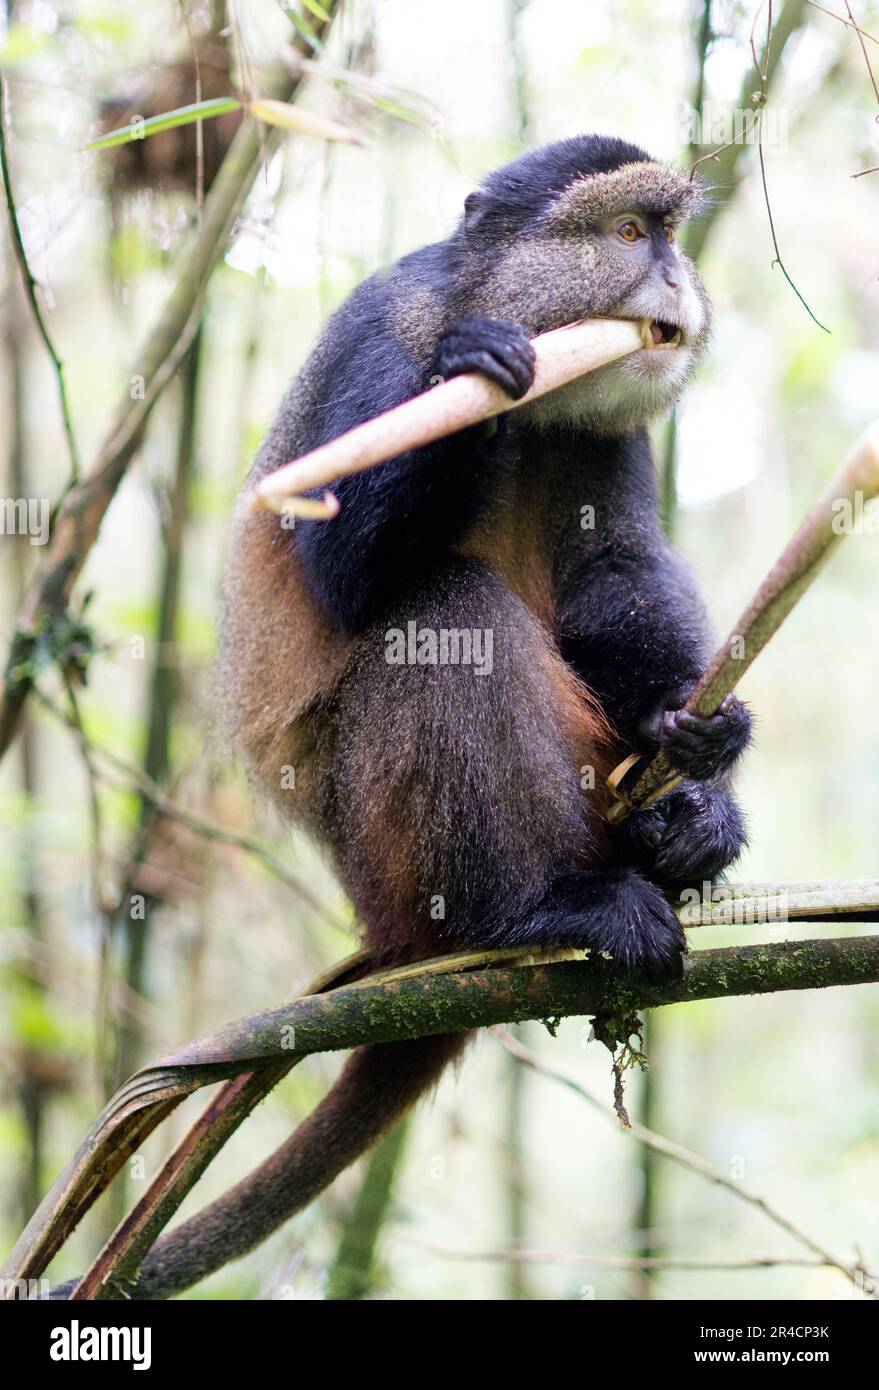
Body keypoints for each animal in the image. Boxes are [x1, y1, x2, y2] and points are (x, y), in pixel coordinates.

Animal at [118, 134, 753, 1298]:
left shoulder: (610, 430)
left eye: (670, 234)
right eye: (630, 231)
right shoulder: (386, 332)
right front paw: (483, 368)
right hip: (388, 851)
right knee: (440, 609)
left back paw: (677, 831)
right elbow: (346, 568)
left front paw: (698, 744)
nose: (674, 280)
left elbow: (612, 571)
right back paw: (540, 908)